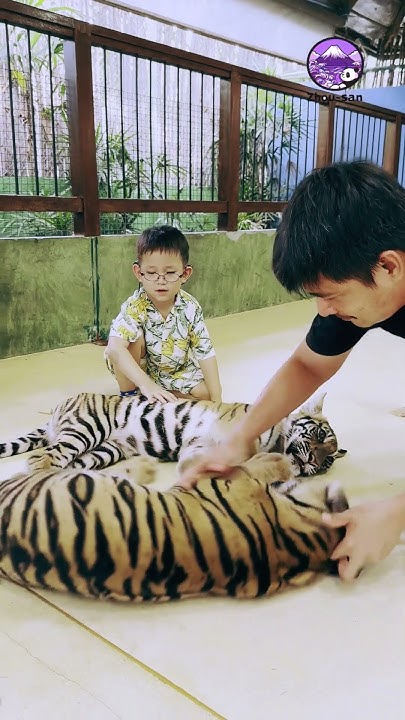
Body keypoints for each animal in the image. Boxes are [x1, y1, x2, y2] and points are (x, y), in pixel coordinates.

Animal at [0, 390, 346, 481]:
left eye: (327, 462)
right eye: (317, 436)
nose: (313, 464)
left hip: (103, 451)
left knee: (66, 463)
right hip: (87, 428)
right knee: (40, 458)